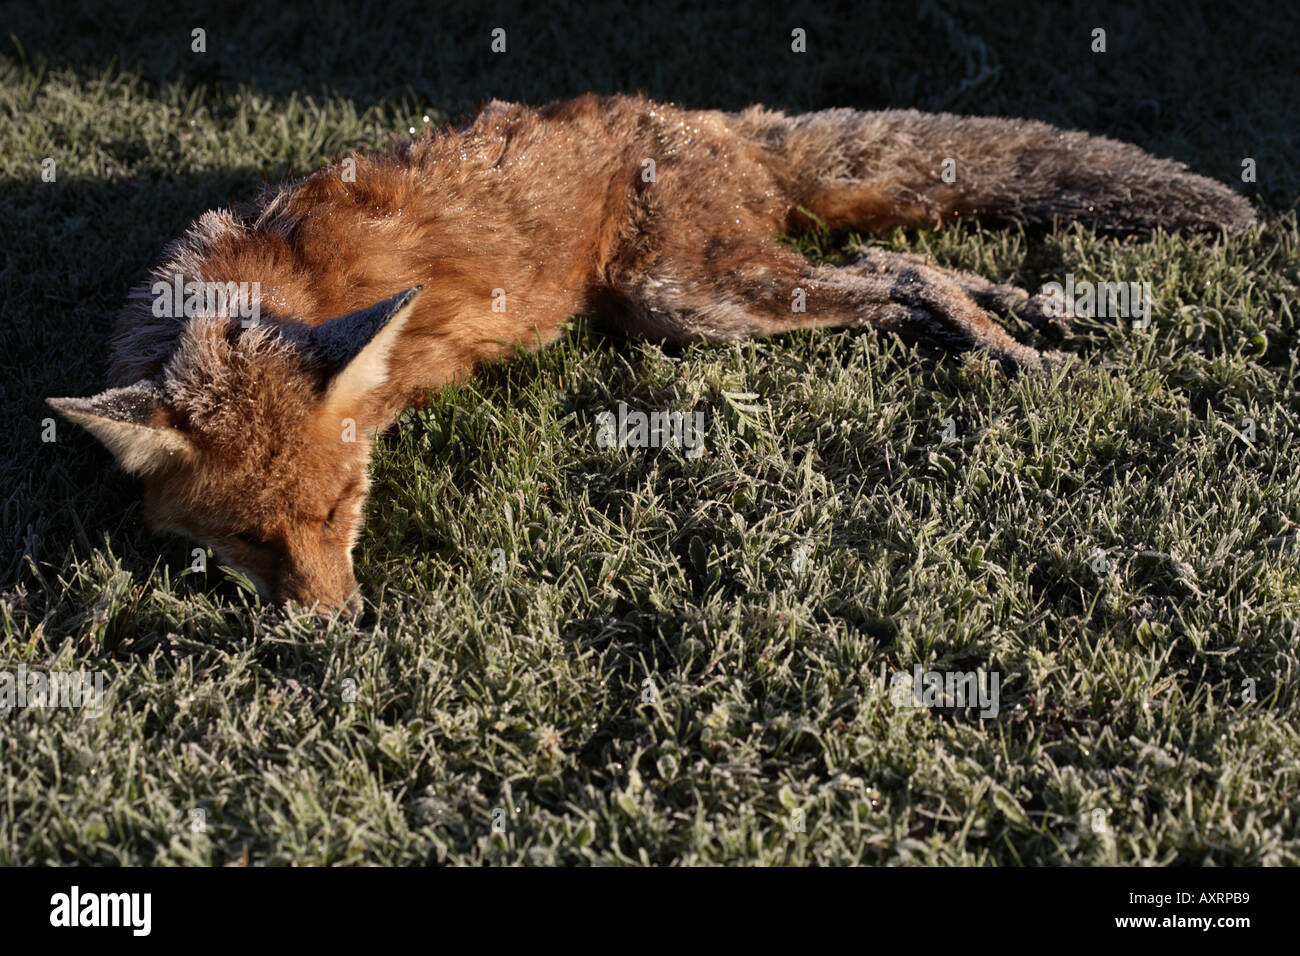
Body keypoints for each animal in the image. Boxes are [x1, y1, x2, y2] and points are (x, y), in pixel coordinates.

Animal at [46, 93, 1257, 613]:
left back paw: (1022, 351)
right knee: (896, 255)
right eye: (252, 537)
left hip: (688, 300)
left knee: (904, 273)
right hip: (714, 290)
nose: (340, 624)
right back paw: (1035, 315)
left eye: (344, 507)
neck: (246, 288)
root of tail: (710, 119)